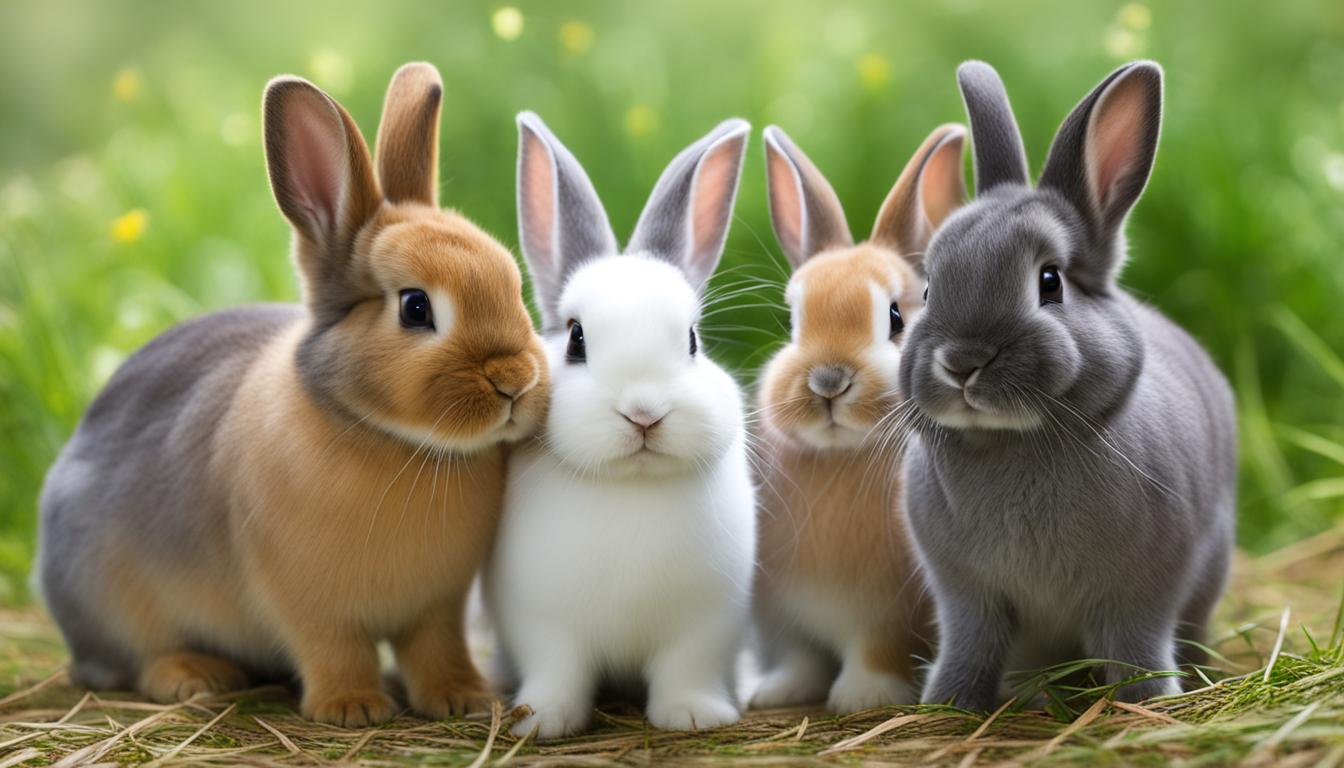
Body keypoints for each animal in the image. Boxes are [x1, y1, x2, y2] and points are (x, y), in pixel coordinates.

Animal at [35, 62, 549, 727]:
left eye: (512, 283)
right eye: (416, 307)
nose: (515, 380)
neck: (388, 438)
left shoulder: (438, 607)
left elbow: (438, 650)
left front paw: (462, 698)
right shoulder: (310, 607)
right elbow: (334, 651)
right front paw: (354, 709)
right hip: (115, 599)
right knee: (136, 661)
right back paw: (194, 677)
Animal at [482, 112, 756, 740]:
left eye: (693, 341)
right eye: (576, 339)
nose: (644, 412)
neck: (631, 485)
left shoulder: (706, 624)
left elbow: (686, 671)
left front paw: (694, 716)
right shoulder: (543, 625)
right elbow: (557, 673)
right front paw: (543, 721)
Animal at [749, 123, 967, 713]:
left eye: (895, 317)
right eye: (792, 321)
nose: (827, 382)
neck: (840, 457)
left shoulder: (891, 614)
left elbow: (878, 651)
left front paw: (863, 697)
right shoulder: (785, 615)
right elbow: (800, 656)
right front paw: (776, 692)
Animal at [897, 60, 1237, 711]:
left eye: (1050, 281)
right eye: (927, 289)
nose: (962, 361)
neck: (1014, 442)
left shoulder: (1140, 592)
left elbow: (1135, 646)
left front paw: (1148, 701)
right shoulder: (966, 596)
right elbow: (969, 646)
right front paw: (948, 704)